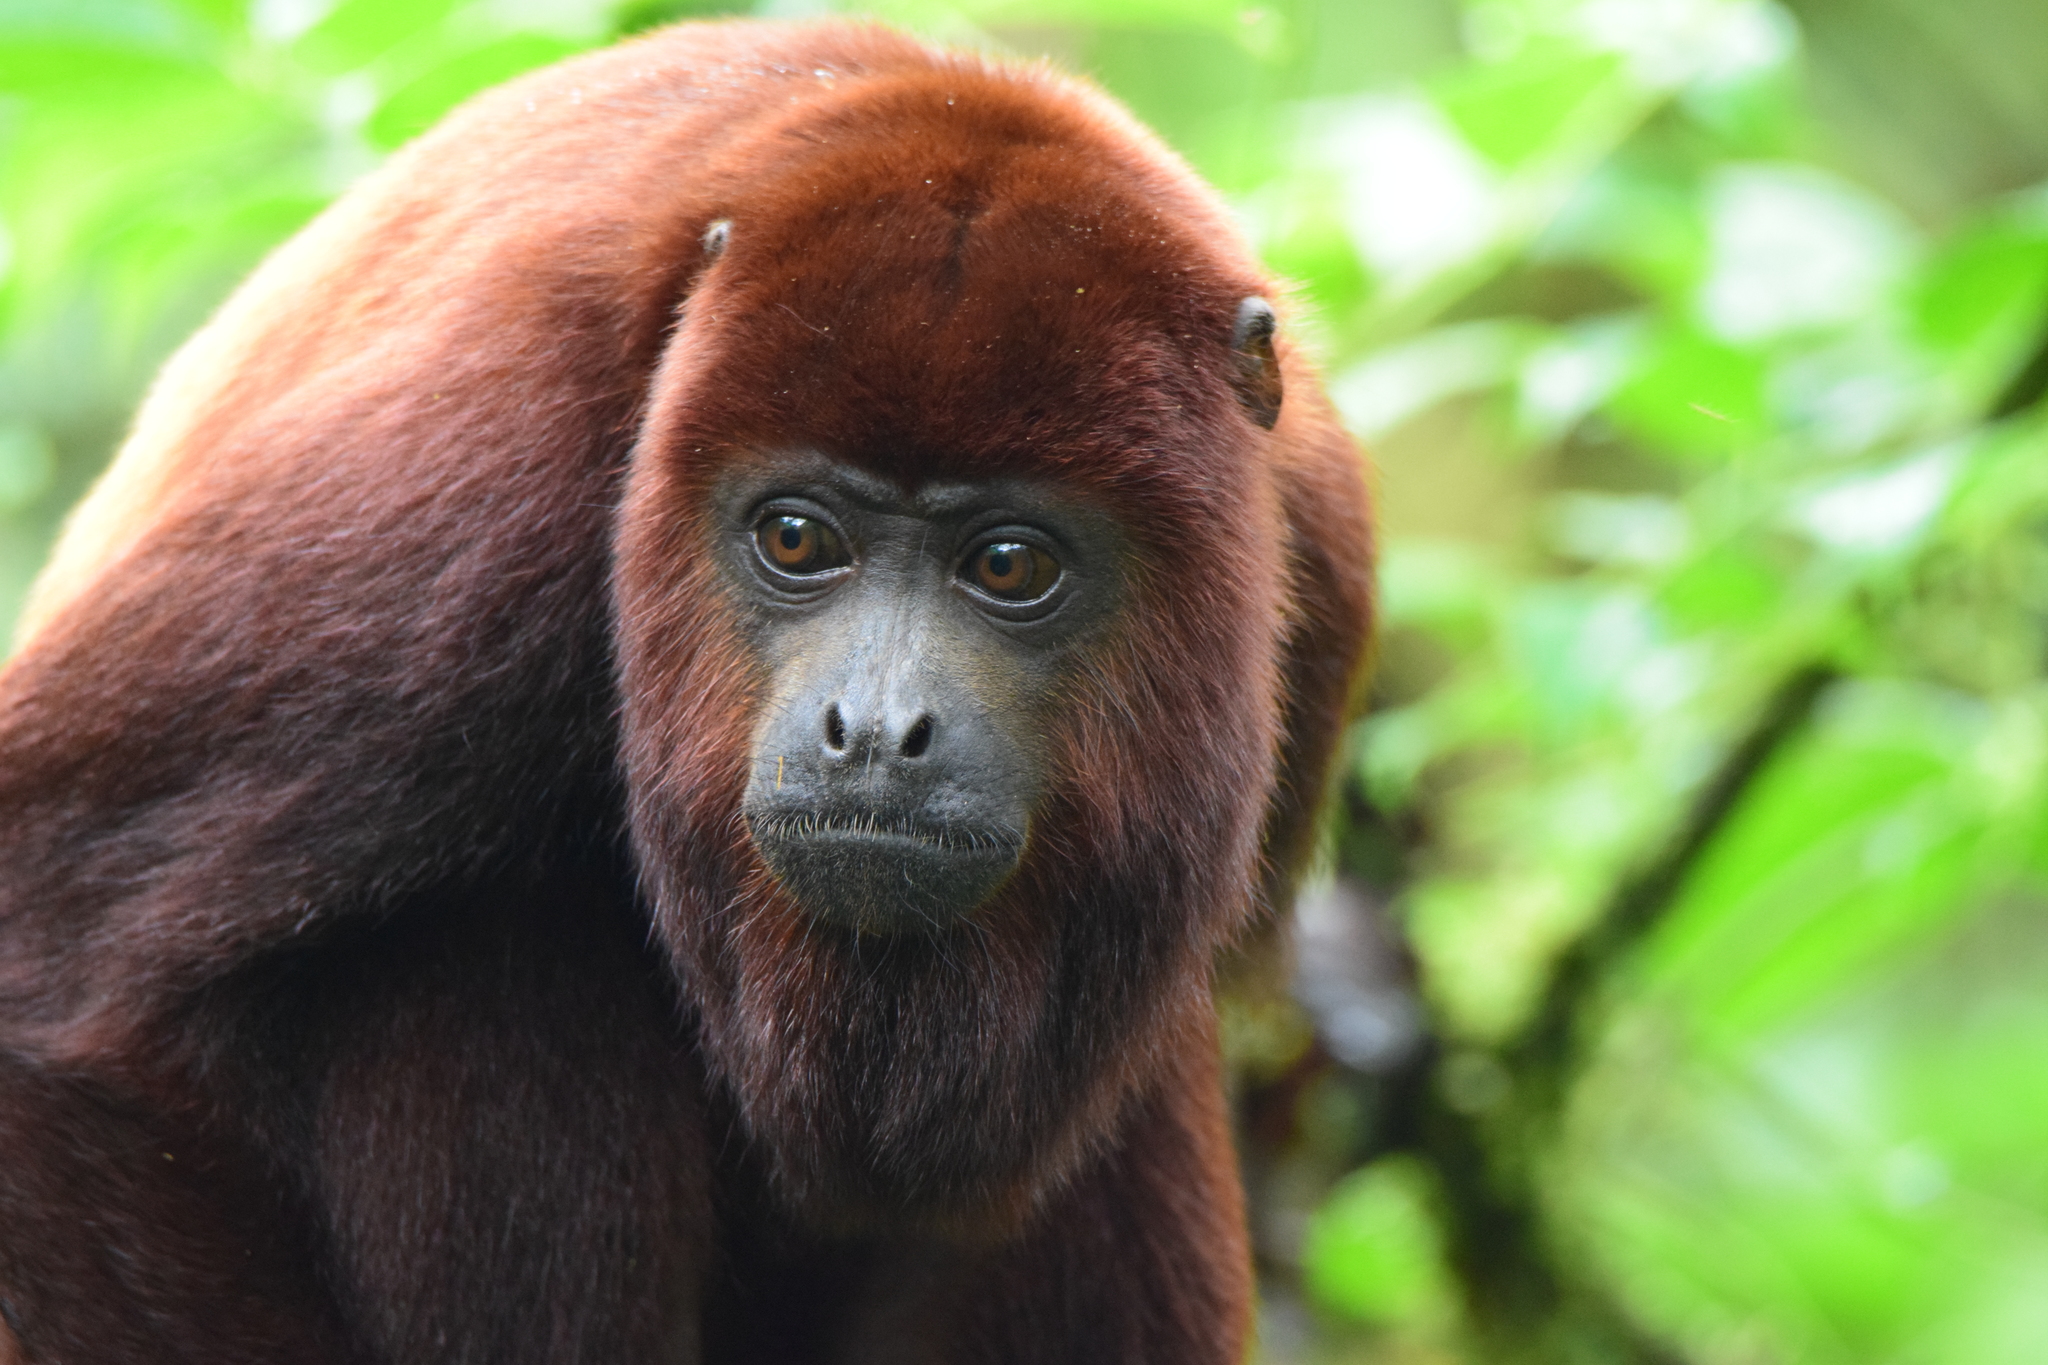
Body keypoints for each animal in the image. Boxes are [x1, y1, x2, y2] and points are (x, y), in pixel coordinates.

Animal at [0, 19, 1372, 1364]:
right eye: (796, 539)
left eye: (1008, 565)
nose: (873, 732)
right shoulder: (462, 486)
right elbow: (42, 990)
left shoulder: (1313, 532)